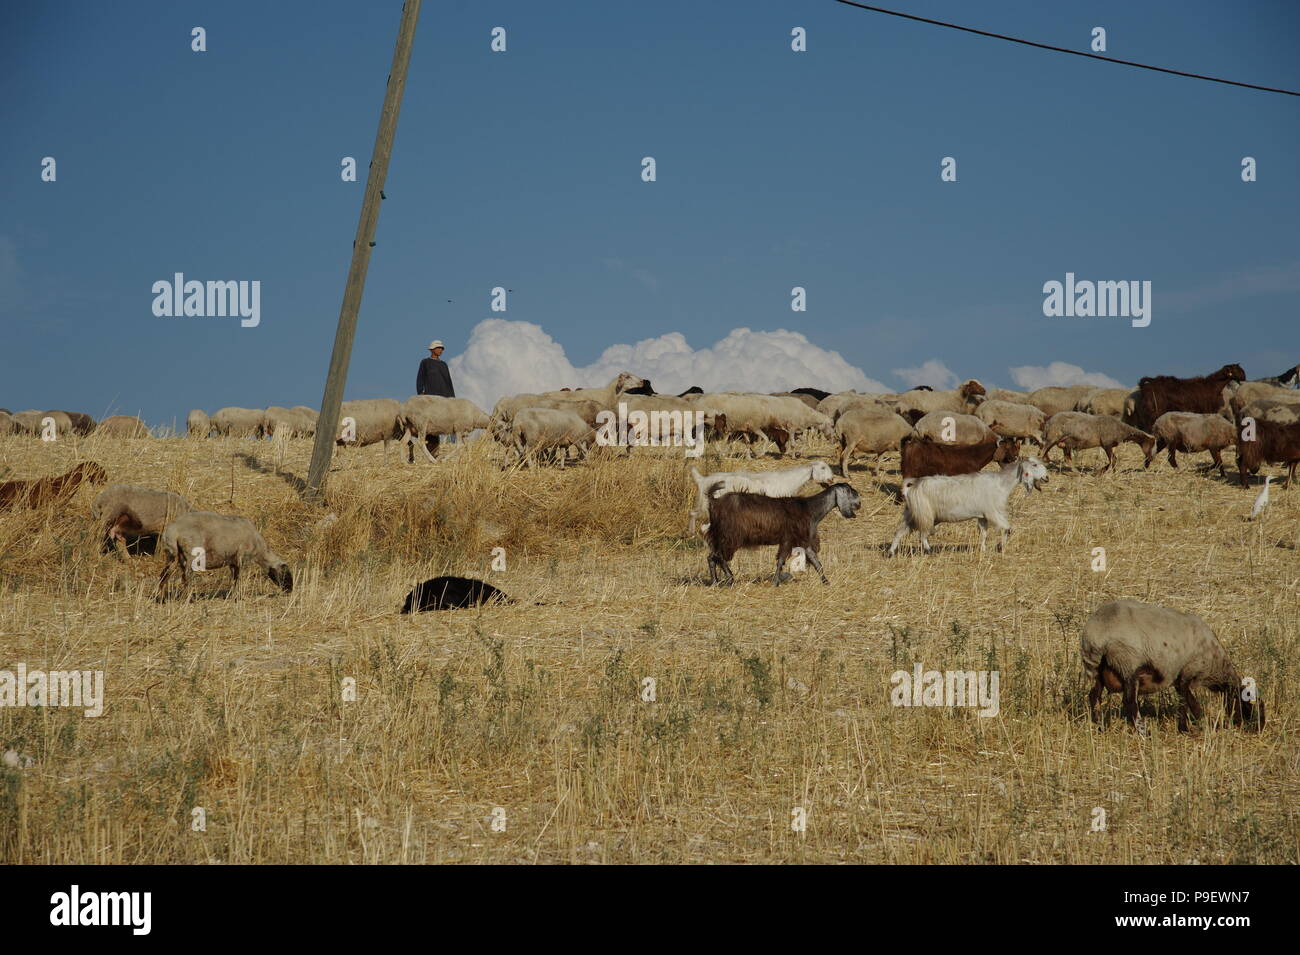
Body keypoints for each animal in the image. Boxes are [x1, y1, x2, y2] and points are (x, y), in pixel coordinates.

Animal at [157, 511, 292, 600]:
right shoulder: (242, 559)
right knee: (186, 576)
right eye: (285, 574)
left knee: (164, 574)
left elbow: (234, 579)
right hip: (191, 554)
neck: (260, 549)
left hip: (172, 555)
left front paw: (234, 595)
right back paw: (189, 598)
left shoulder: (233, 561)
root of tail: (172, 531)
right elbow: (239, 578)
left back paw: (162, 598)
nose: (290, 590)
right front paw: (240, 596)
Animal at [688, 460, 835, 535]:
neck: (785, 482)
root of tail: (702, 480)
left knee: (694, 515)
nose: (832, 479)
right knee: (701, 523)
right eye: (823, 468)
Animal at [705, 483, 861, 585]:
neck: (810, 508)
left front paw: (826, 582)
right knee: (718, 556)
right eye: (851, 492)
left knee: (711, 557)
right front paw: (775, 582)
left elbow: (816, 561)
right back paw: (730, 578)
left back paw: (715, 582)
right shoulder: (788, 539)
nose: (859, 503)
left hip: (719, 535)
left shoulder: (802, 541)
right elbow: (780, 560)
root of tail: (715, 502)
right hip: (729, 536)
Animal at [888, 457, 1048, 555]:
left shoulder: (982, 516)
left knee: (900, 531)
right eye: (1034, 465)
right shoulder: (992, 512)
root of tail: (913, 485)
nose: (1047, 477)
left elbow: (984, 534)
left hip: (912, 513)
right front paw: (1000, 547)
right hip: (925, 514)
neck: (1001, 484)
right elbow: (1007, 528)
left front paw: (983, 549)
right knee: (922, 534)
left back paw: (891, 552)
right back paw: (929, 550)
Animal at [1080, 600, 1264, 734]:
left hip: (1099, 670)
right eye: (1246, 702)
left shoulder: (1180, 677)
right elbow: (1187, 701)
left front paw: (1193, 724)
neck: (1216, 663)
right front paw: (1192, 725)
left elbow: (1187, 700)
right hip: (1128, 664)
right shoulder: (1188, 671)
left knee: (1094, 696)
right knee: (1129, 701)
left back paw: (1099, 725)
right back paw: (1143, 732)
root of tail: (1094, 635)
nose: (1245, 725)